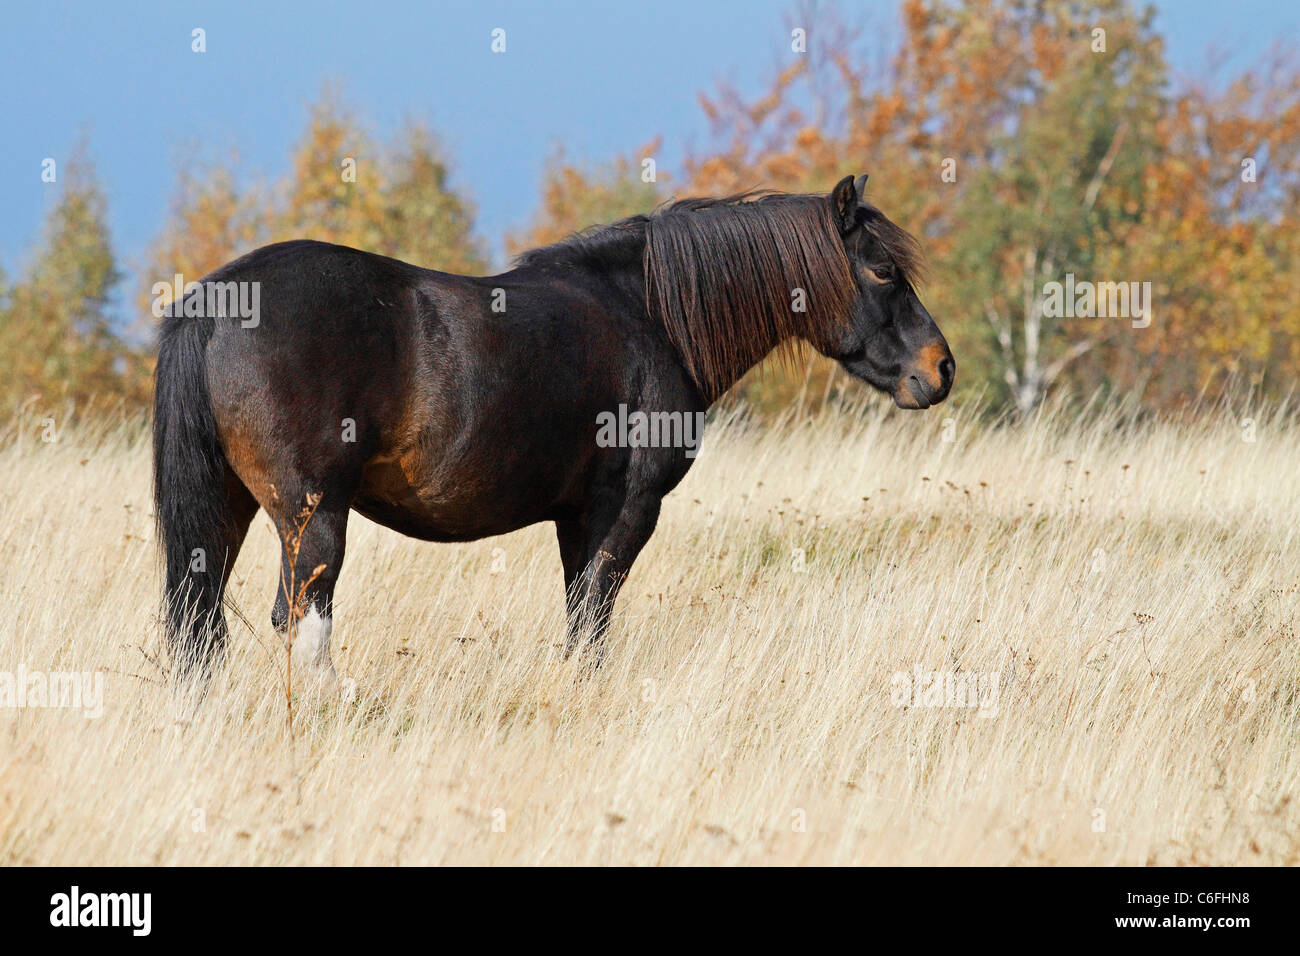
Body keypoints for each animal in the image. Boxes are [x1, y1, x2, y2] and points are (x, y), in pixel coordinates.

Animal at [153, 173, 954, 692]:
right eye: (882, 270)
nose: (939, 368)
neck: (650, 314)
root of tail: (223, 302)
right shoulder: (624, 512)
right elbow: (593, 621)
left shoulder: (576, 519)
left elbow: (579, 618)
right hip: (311, 517)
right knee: (301, 619)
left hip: (229, 510)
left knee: (203, 619)